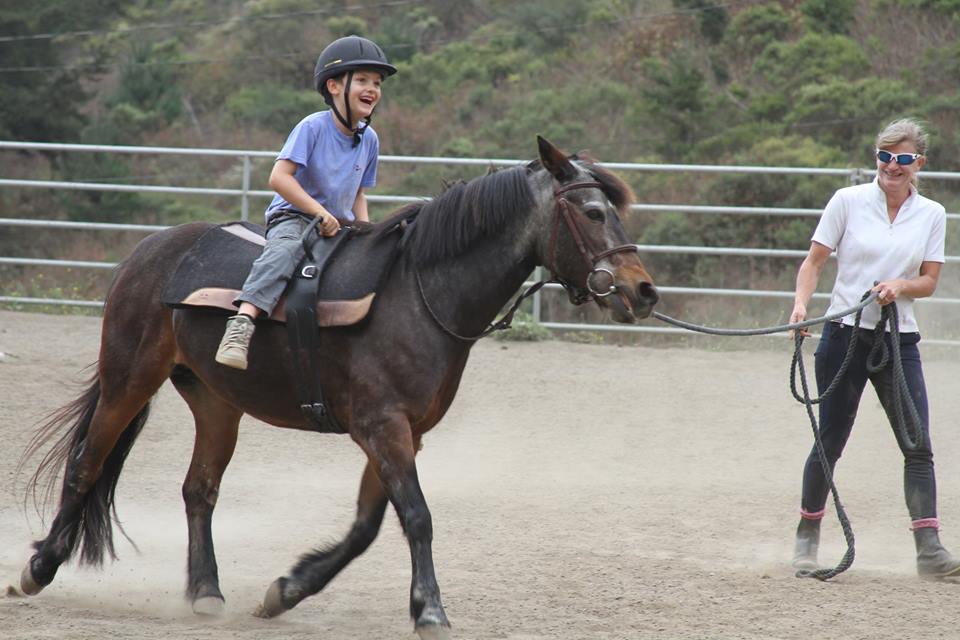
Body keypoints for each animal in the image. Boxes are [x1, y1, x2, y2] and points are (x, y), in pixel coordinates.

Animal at [17, 136, 659, 639]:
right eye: (594, 212)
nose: (643, 291)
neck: (417, 294)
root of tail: (148, 252)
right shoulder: (382, 426)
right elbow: (417, 516)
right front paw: (430, 611)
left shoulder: (401, 433)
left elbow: (367, 526)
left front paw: (287, 589)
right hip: (127, 381)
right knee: (87, 464)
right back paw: (40, 567)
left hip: (217, 405)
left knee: (198, 490)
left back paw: (206, 593)